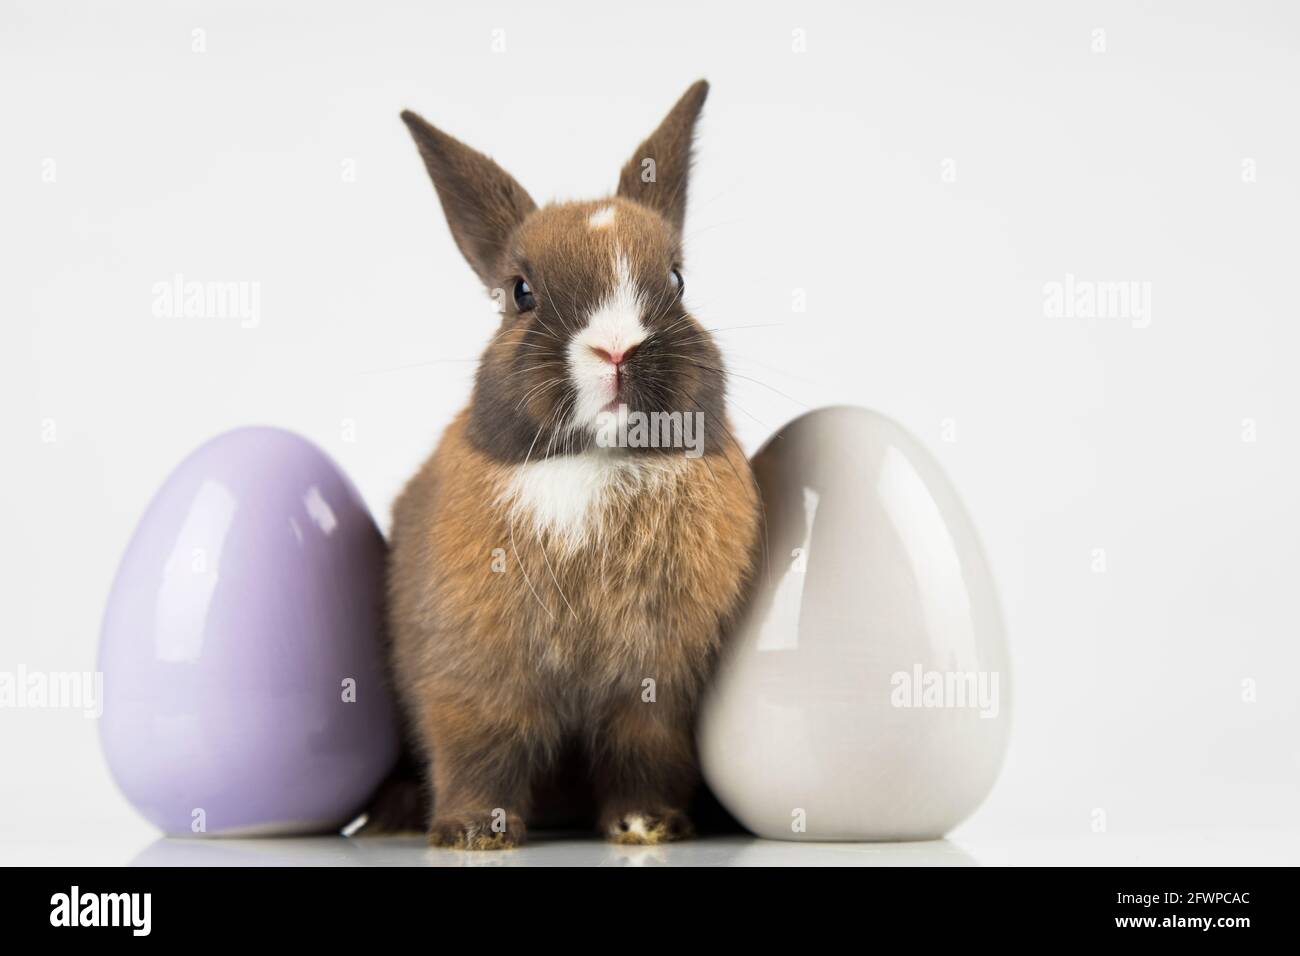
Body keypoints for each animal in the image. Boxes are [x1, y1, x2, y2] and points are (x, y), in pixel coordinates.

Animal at [381, 80, 760, 849]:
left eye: (677, 280)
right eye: (520, 292)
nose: (616, 347)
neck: (597, 463)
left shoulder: (655, 692)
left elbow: (644, 754)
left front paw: (646, 826)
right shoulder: (473, 683)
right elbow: (479, 753)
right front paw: (474, 833)